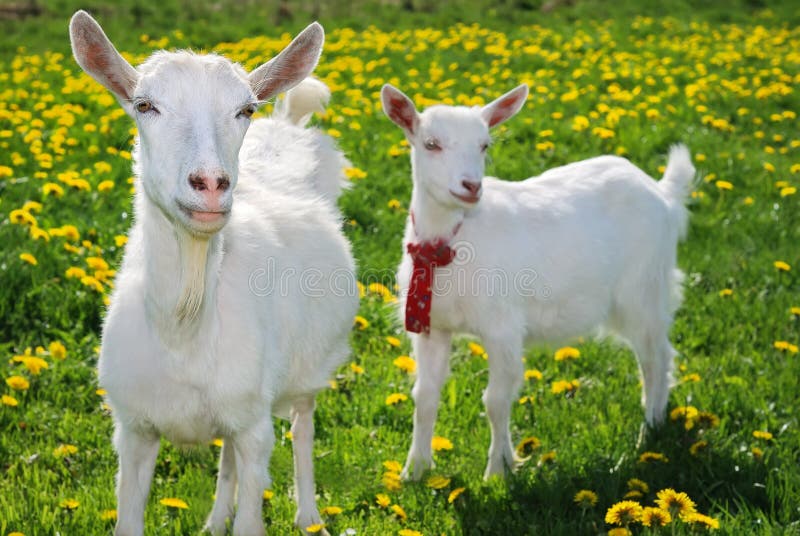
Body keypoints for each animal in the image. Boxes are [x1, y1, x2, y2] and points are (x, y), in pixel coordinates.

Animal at [70, 11, 358, 535]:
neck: (182, 333)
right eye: (144, 105)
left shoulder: (256, 430)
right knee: (227, 457)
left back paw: (308, 515)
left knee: (303, 427)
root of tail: (290, 129)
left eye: (245, 109)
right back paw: (215, 517)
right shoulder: (134, 429)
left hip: (309, 367)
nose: (210, 184)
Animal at [381, 83, 694, 480]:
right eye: (431, 143)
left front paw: (498, 471)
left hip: (644, 288)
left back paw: (649, 432)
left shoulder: (503, 328)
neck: (451, 239)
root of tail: (663, 193)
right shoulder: (432, 326)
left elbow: (495, 401)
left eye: (484, 145)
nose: (471, 186)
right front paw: (415, 471)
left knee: (656, 356)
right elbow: (424, 396)